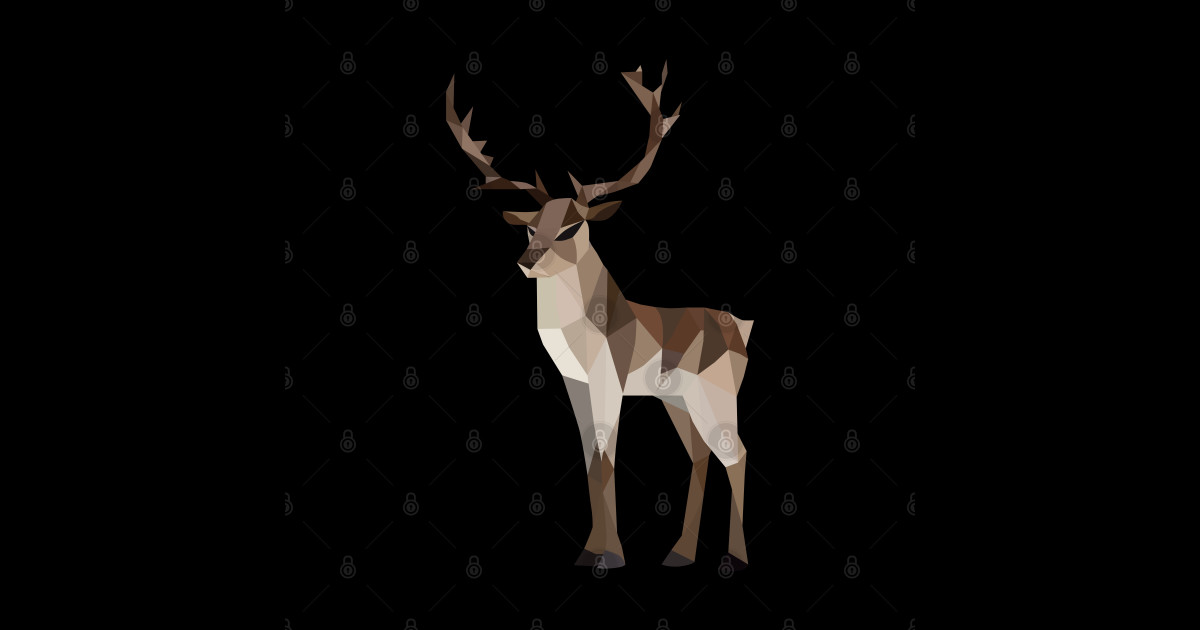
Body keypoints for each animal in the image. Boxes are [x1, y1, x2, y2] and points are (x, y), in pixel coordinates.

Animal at [445, 63, 753, 571]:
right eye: (532, 226)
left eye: (572, 226)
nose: (527, 259)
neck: (588, 329)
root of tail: (741, 329)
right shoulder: (576, 383)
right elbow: (589, 459)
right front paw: (589, 550)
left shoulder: (610, 381)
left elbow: (606, 458)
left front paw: (611, 556)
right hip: (677, 401)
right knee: (700, 457)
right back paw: (678, 554)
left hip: (716, 397)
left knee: (736, 454)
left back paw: (739, 555)